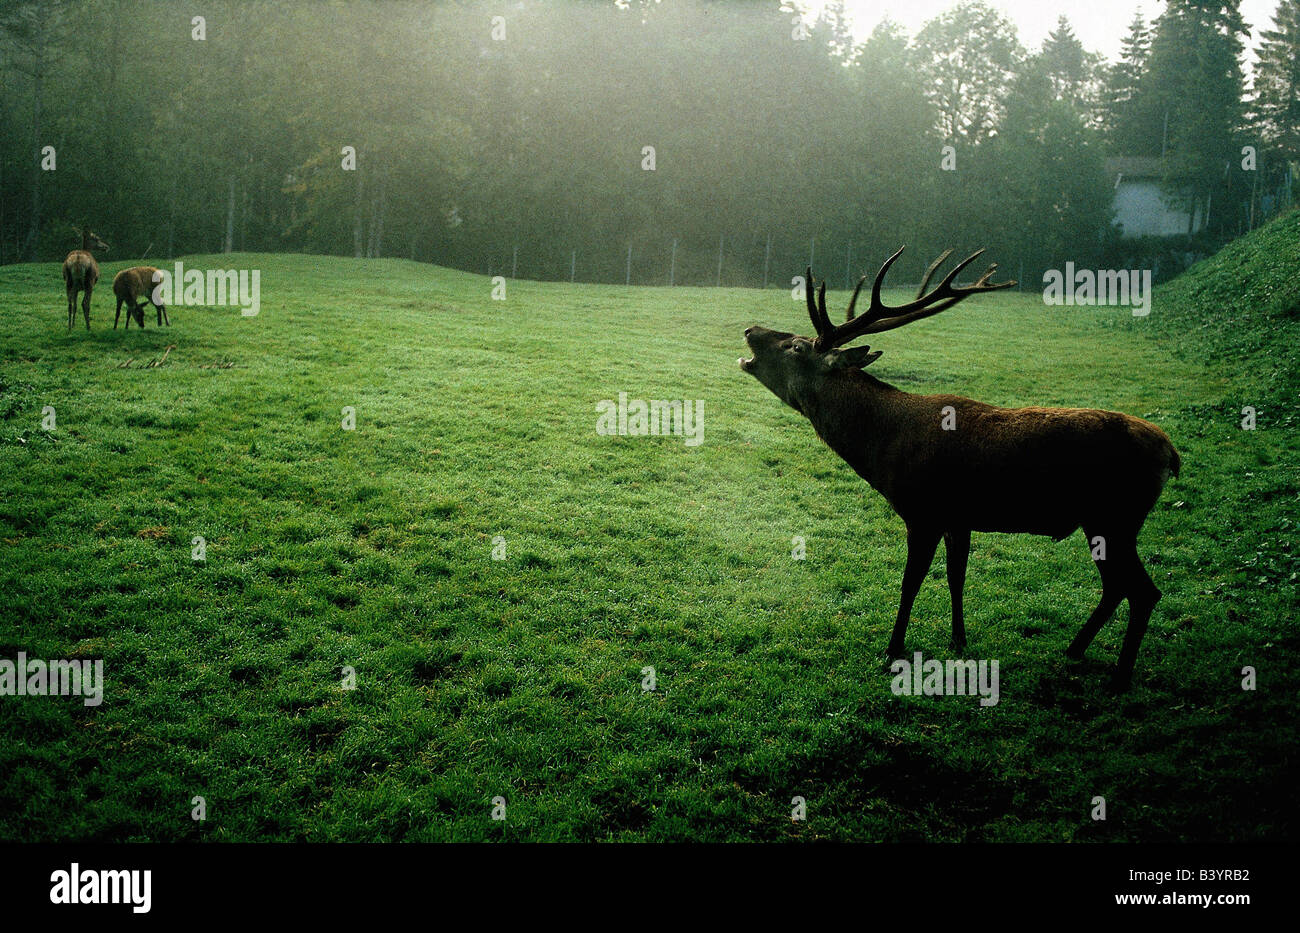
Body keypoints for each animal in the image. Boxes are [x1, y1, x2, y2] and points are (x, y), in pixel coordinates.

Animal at [739, 248, 1180, 692]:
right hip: (1102, 522)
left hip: (1115, 516)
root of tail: (1171, 454)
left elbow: (911, 582)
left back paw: (1119, 676)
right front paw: (959, 640)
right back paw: (1075, 649)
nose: (750, 329)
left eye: (796, 346)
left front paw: (893, 649)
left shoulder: (923, 512)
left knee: (1143, 590)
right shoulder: (958, 519)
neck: (882, 446)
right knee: (1117, 587)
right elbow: (957, 577)